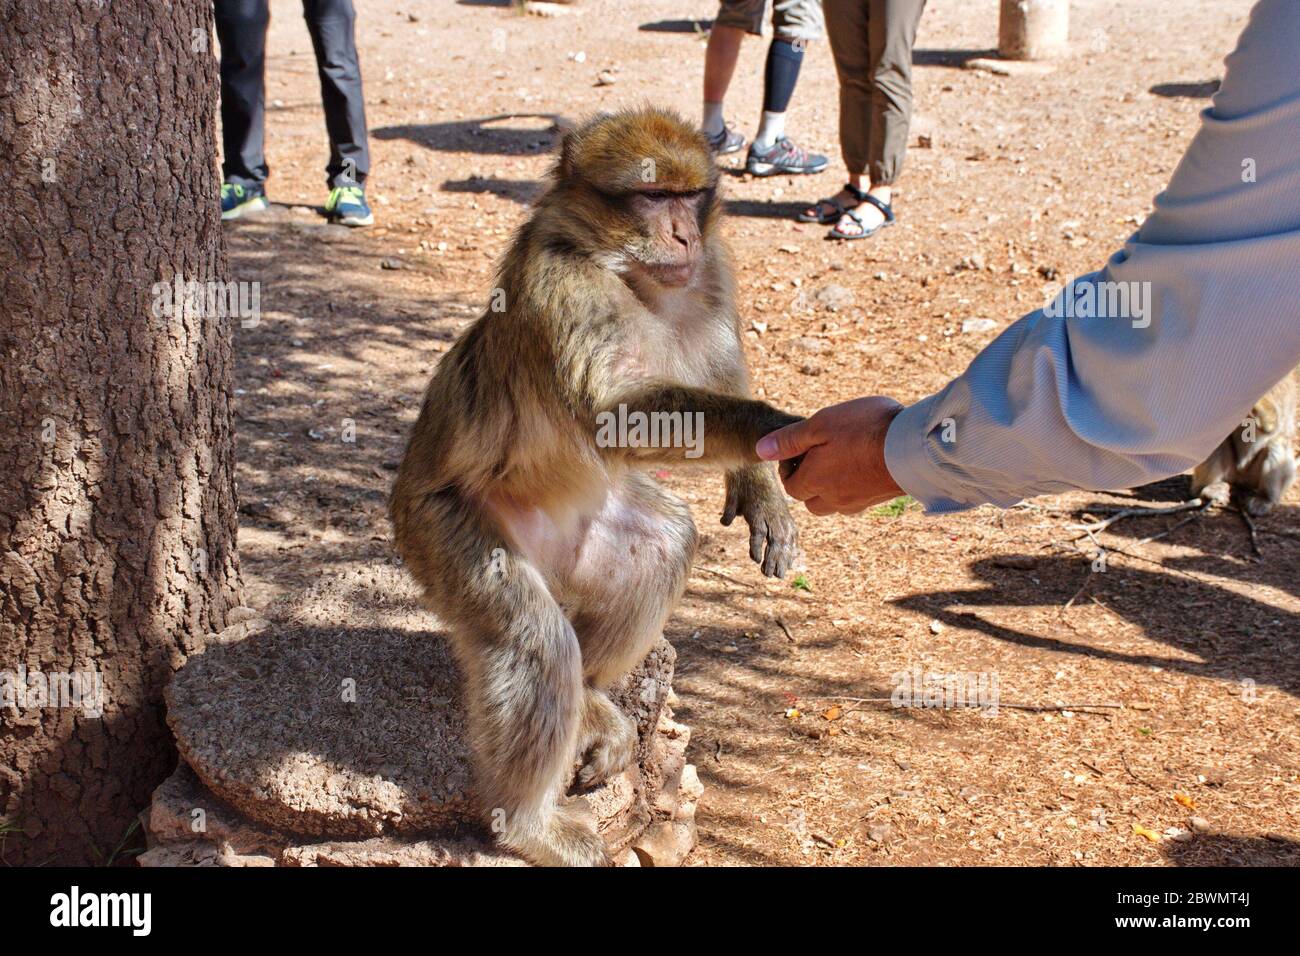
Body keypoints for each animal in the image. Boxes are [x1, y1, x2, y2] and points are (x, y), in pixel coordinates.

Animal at [389, 108, 801, 866]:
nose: (684, 235)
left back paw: (590, 699)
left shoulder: (712, 272)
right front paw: (780, 426)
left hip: (577, 537)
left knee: (664, 542)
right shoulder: (565, 284)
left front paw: (760, 479)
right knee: (536, 641)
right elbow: (616, 416)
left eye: (689, 196)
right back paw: (527, 825)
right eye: (651, 196)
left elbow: (719, 363)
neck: (631, 275)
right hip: (441, 530)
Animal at [1190, 372, 1297, 515]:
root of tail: (1239, 477)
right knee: (1215, 442)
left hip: (1253, 477)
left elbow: (1272, 425)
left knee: (1276, 443)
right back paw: (1207, 488)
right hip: (1230, 471)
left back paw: (1264, 498)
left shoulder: (1277, 385)